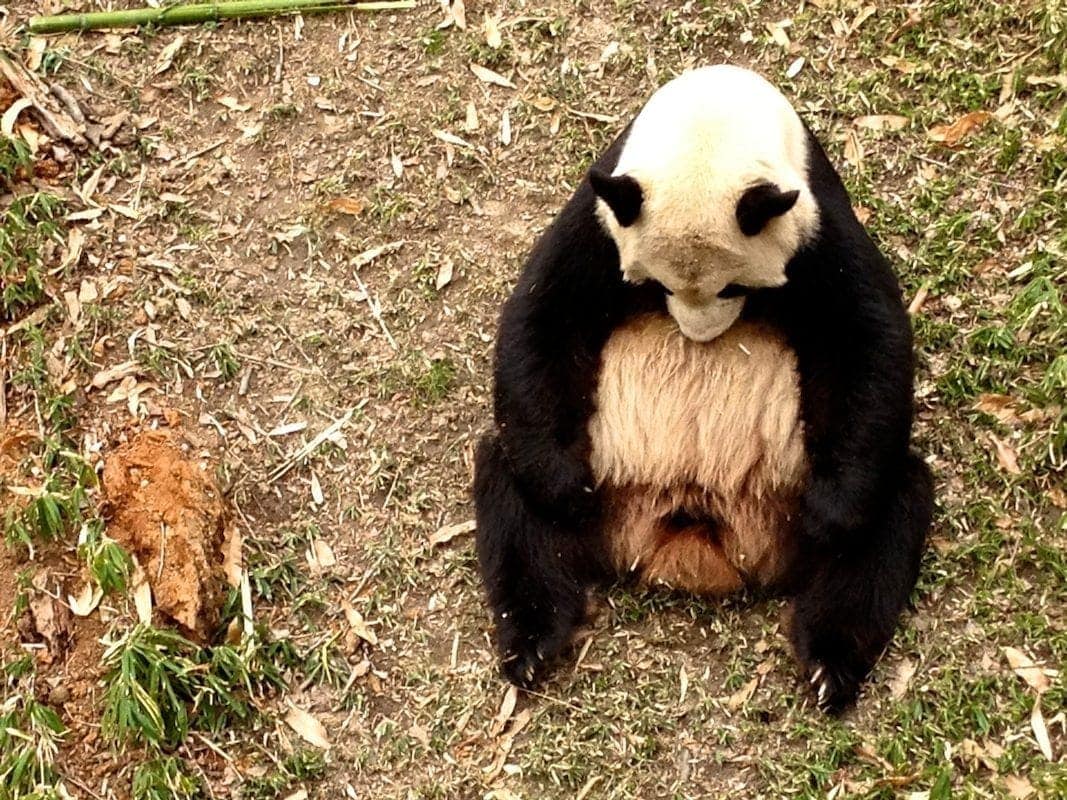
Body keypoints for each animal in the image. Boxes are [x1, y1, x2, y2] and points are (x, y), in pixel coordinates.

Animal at [473, 65, 934, 712]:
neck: (712, 117)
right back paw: (532, 638)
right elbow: (543, 315)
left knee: (885, 521)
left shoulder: (815, 220)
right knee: (517, 505)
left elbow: (866, 336)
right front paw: (566, 490)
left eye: (736, 288)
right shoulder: (602, 216)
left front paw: (829, 517)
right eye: (654, 284)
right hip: (592, 473)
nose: (700, 335)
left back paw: (830, 660)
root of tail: (689, 539)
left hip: (802, 492)